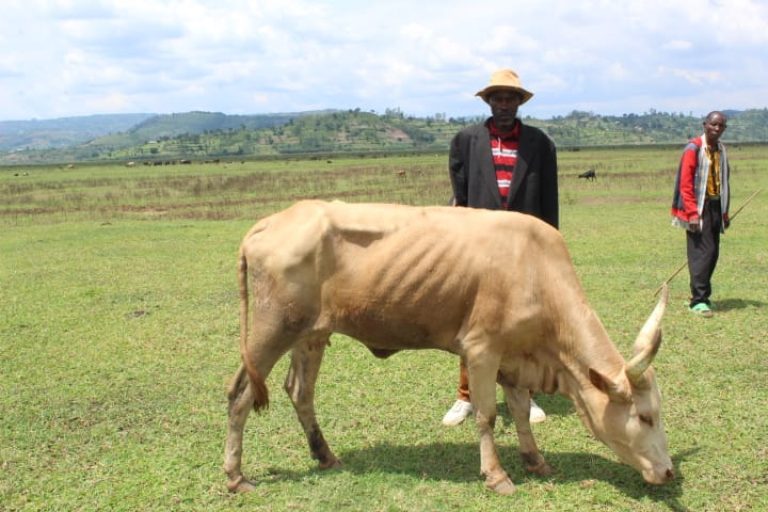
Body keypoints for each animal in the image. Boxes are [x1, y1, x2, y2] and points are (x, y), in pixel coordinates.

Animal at [224, 200, 673, 495]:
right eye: (645, 417)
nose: (668, 472)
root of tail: (269, 222)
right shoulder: (481, 350)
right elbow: (487, 416)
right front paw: (497, 476)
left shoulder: (514, 357)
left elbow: (521, 413)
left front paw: (535, 461)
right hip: (272, 329)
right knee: (240, 395)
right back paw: (236, 476)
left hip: (310, 335)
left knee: (300, 392)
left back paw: (325, 456)